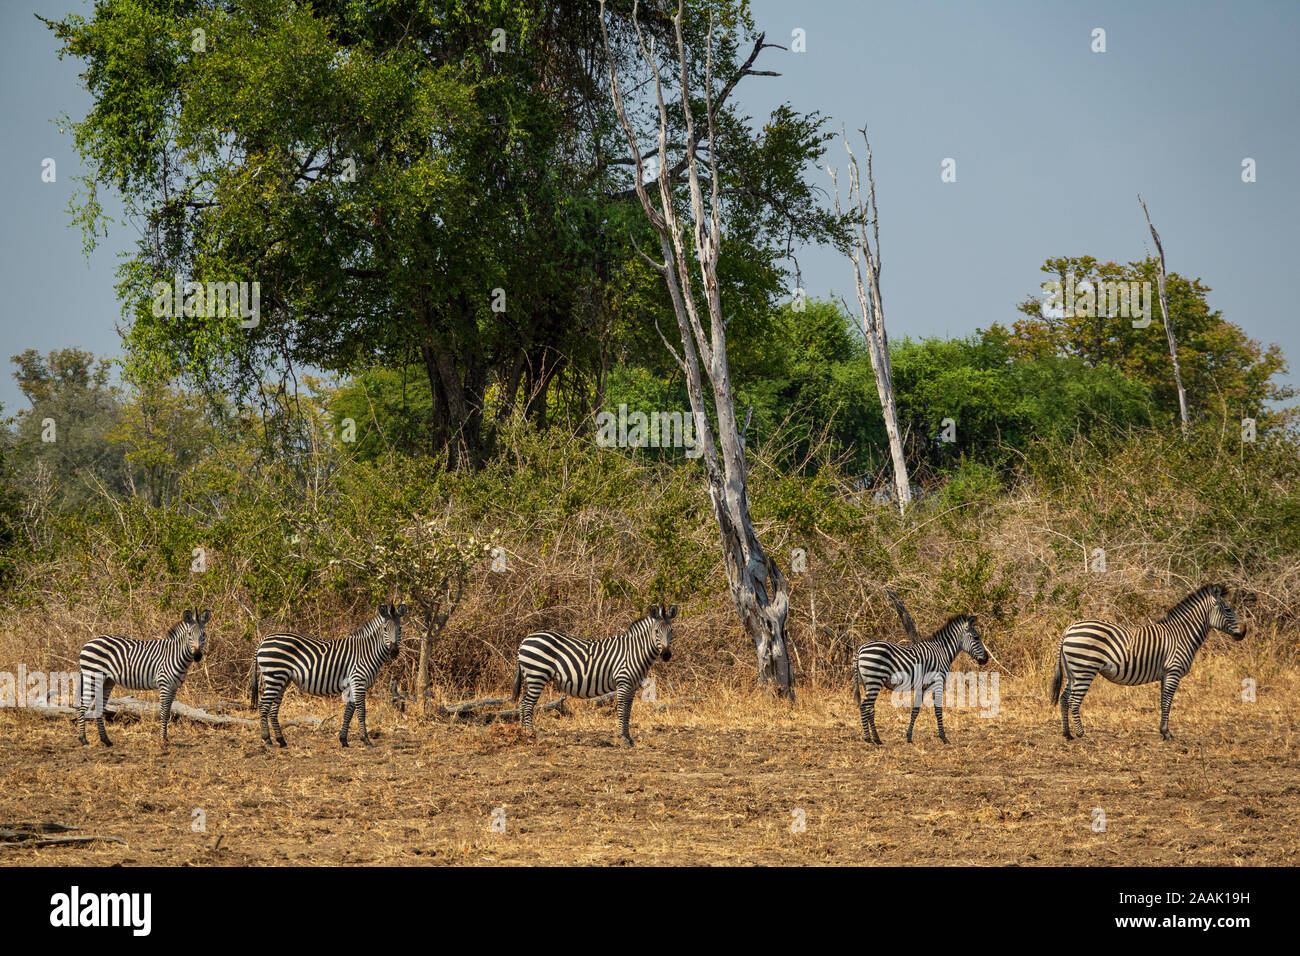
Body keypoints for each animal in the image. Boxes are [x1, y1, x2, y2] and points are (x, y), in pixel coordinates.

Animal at [76, 609, 211, 747]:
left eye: (204, 634)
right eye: (189, 634)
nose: (198, 656)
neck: (175, 655)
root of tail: (89, 642)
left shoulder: (174, 687)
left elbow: (168, 711)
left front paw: (165, 737)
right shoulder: (165, 685)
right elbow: (164, 712)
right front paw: (162, 739)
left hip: (107, 680)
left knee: (99, 705)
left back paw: (105, 740)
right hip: (92, 675)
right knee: (82, 706)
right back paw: (83, 739)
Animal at [253, 603, 407, 749]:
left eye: (400, 629)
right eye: (385, 629)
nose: (394, 651)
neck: (368, 651)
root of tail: (263, 639)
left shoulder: (352, 684)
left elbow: (348, 712)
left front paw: (343, 740)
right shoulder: (358, 681)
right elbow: (361, 711)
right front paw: (366, 740)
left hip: (283, 679)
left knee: (273, 709)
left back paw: (281, 740)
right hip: (274, 676)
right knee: (263, 705)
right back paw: (267, 739)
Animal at [511, 604, 677, 746]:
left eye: (672, 631)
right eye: (656, 632)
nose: (666, 655)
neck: (635, 652)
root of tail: (525, 640)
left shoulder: (633, 686)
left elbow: (628, 710)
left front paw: (628, 738)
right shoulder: (623, 682)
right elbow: (622, 709)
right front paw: (622, 738)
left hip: (531, 677)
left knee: (523, 702)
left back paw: (523, 733)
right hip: (537, 675)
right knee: (527, 704)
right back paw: (530, 733)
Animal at [853, 614, 989, 744]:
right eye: (976, 638)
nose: (986, 659)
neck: (943, 652)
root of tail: (860, 649)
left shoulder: (922, 687)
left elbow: (915, 711)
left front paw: (909, 737)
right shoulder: (938, 683)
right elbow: (938, 710)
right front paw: (944, 737)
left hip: (868, 683)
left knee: (870, 708)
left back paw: (877, 739)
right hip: (875, 680)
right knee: (865, 707)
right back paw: (868, 739)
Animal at [1052, 584, 1246, 741]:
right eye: (1228, 610)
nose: (1244, 632)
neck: (1182, 635)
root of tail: (1069, 629)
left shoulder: (1166, 674)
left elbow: (1163, 702)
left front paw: (1163, 731)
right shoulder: (1173, 672)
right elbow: (1167, 702)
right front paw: (1167, 733)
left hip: (1073, 671)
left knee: (1064, 698)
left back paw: (1067, 734)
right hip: (1085, 669)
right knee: (1074, 700)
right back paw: (1082, 734)